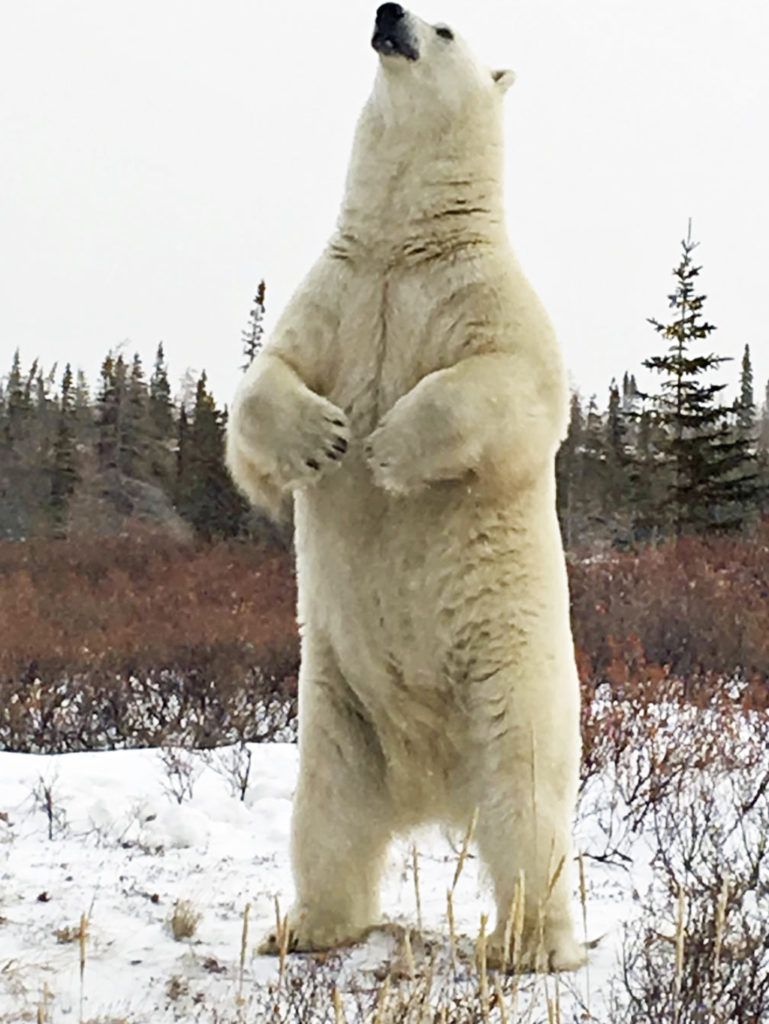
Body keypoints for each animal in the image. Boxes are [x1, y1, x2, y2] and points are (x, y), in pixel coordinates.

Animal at [226, 3, 585, 972]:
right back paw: (307, 925)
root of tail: (433, 788)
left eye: (447, 27)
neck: (401, 245)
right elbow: (261, 383)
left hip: (511, 687)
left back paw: (528, 946)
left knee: (526, 815)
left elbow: (511, 387)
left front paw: (385, 448)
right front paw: (322, 439)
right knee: (328, 817)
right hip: (336, 710)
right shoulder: (337, 293)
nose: (388, 15)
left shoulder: (483, 294)